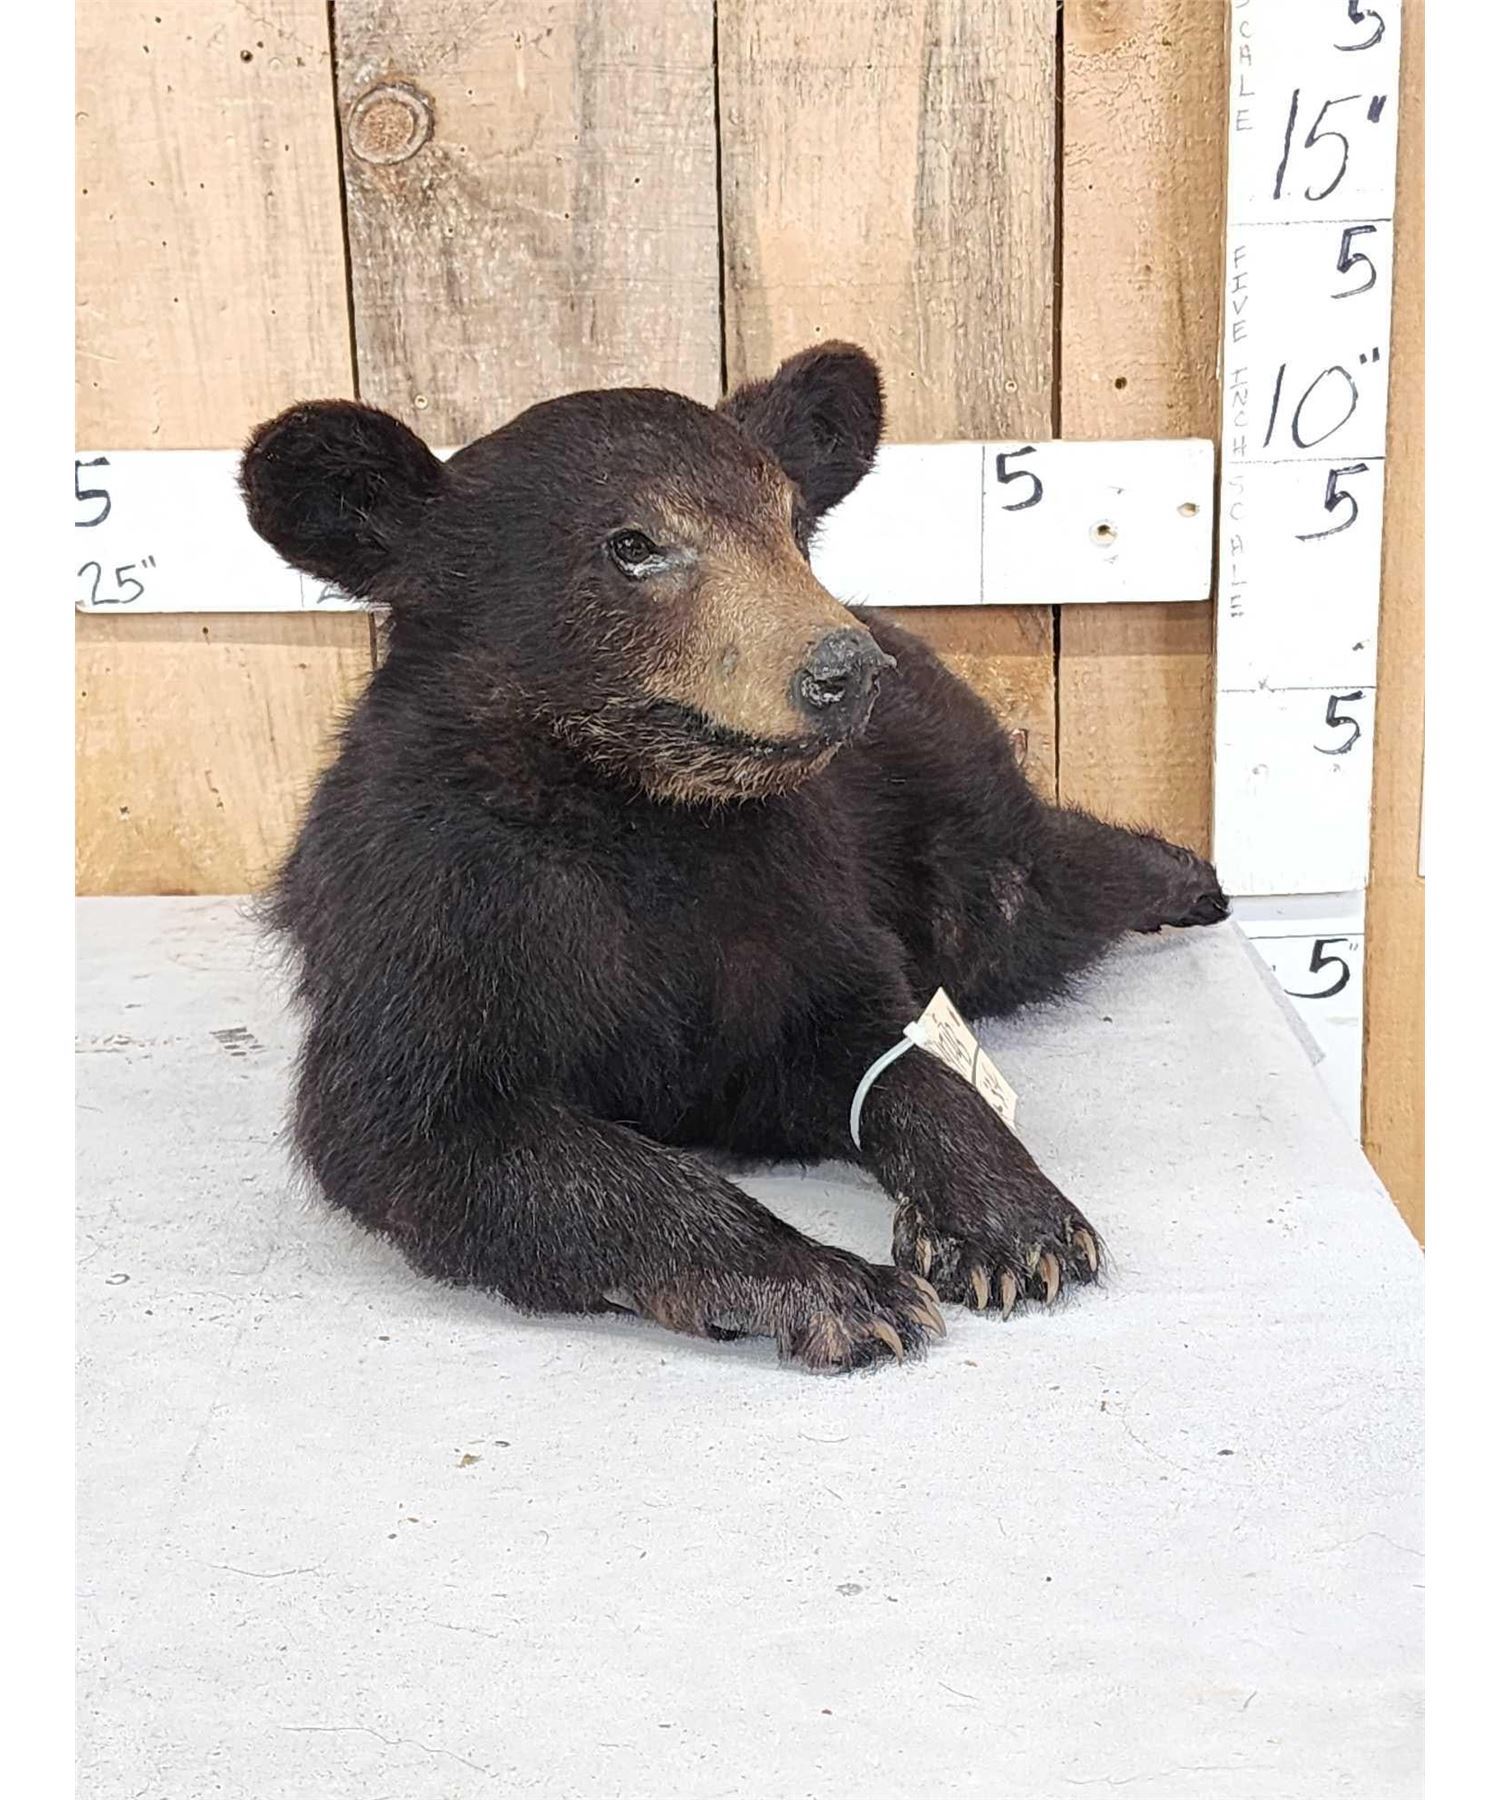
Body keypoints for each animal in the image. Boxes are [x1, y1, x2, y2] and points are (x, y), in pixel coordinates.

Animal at [240, 342, 1228, 1373]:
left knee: (1031, 891)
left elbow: (877, 1044)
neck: (639, 809)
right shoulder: (429, 910)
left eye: (790, 521)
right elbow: (427, 1129)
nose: (843, 671)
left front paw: (1009, 1220)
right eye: (632, 544)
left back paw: (1183, 877)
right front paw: (837, 1286)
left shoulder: (793, 895)